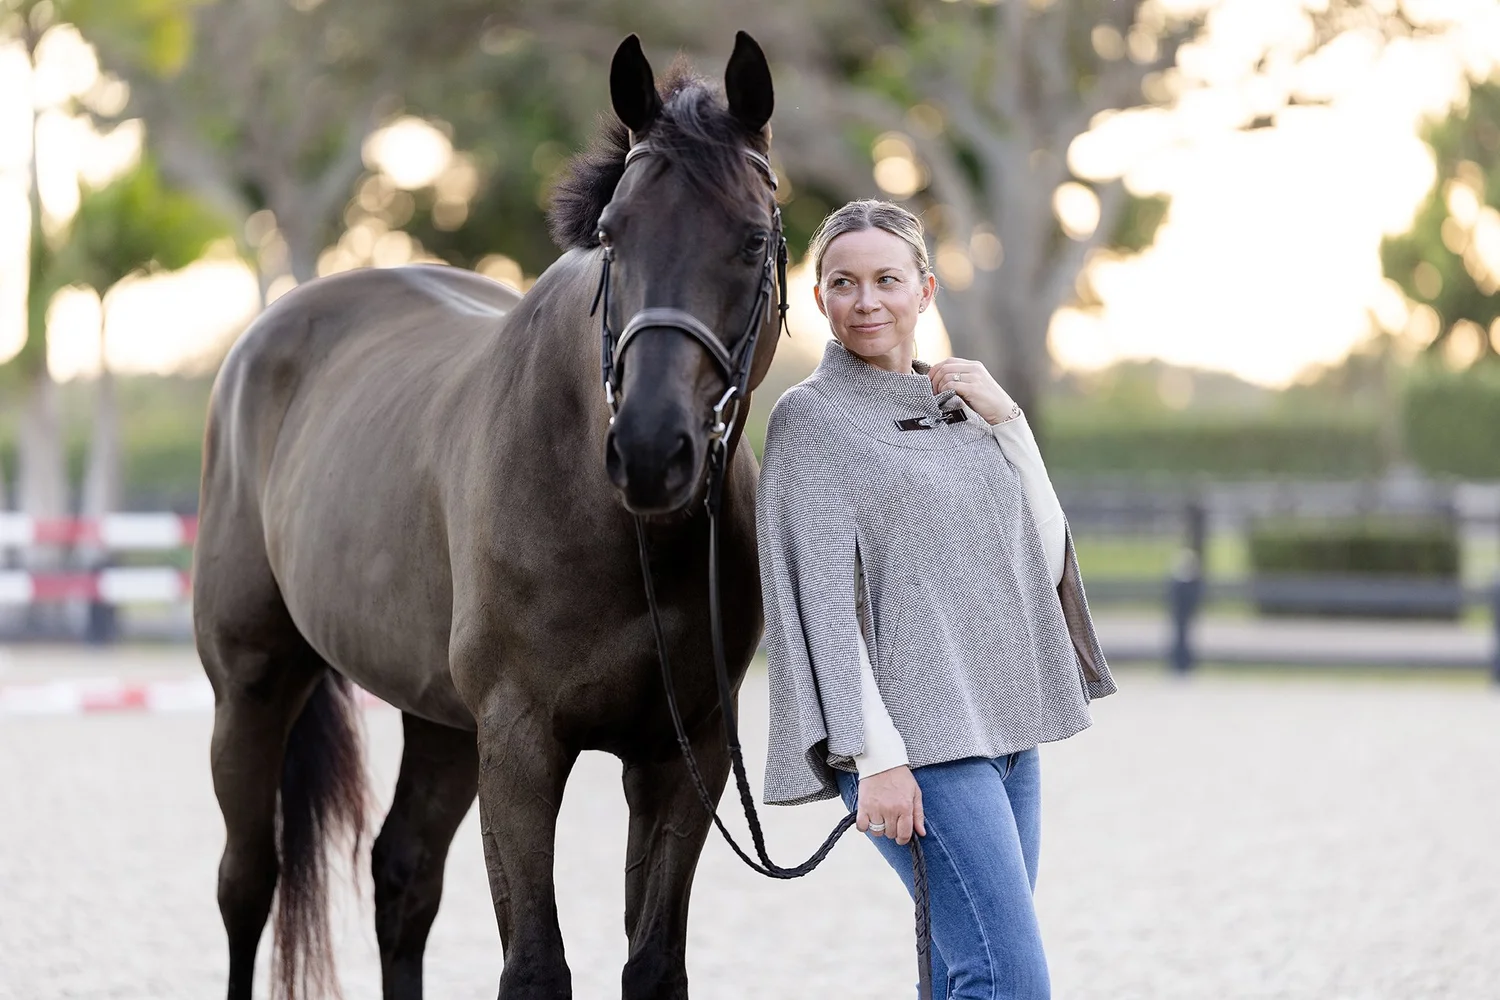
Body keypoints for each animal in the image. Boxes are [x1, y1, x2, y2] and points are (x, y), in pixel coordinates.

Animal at [193, 31, 784, 1000]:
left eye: (752, 239)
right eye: (612, 235)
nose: (650, 451)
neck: (624, 536)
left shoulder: (680, 753)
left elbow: (654, 965)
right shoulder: (519, 745)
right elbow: (536, 966)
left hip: (438, 721)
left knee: (401, 877)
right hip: (252, 684)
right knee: (248, 883)